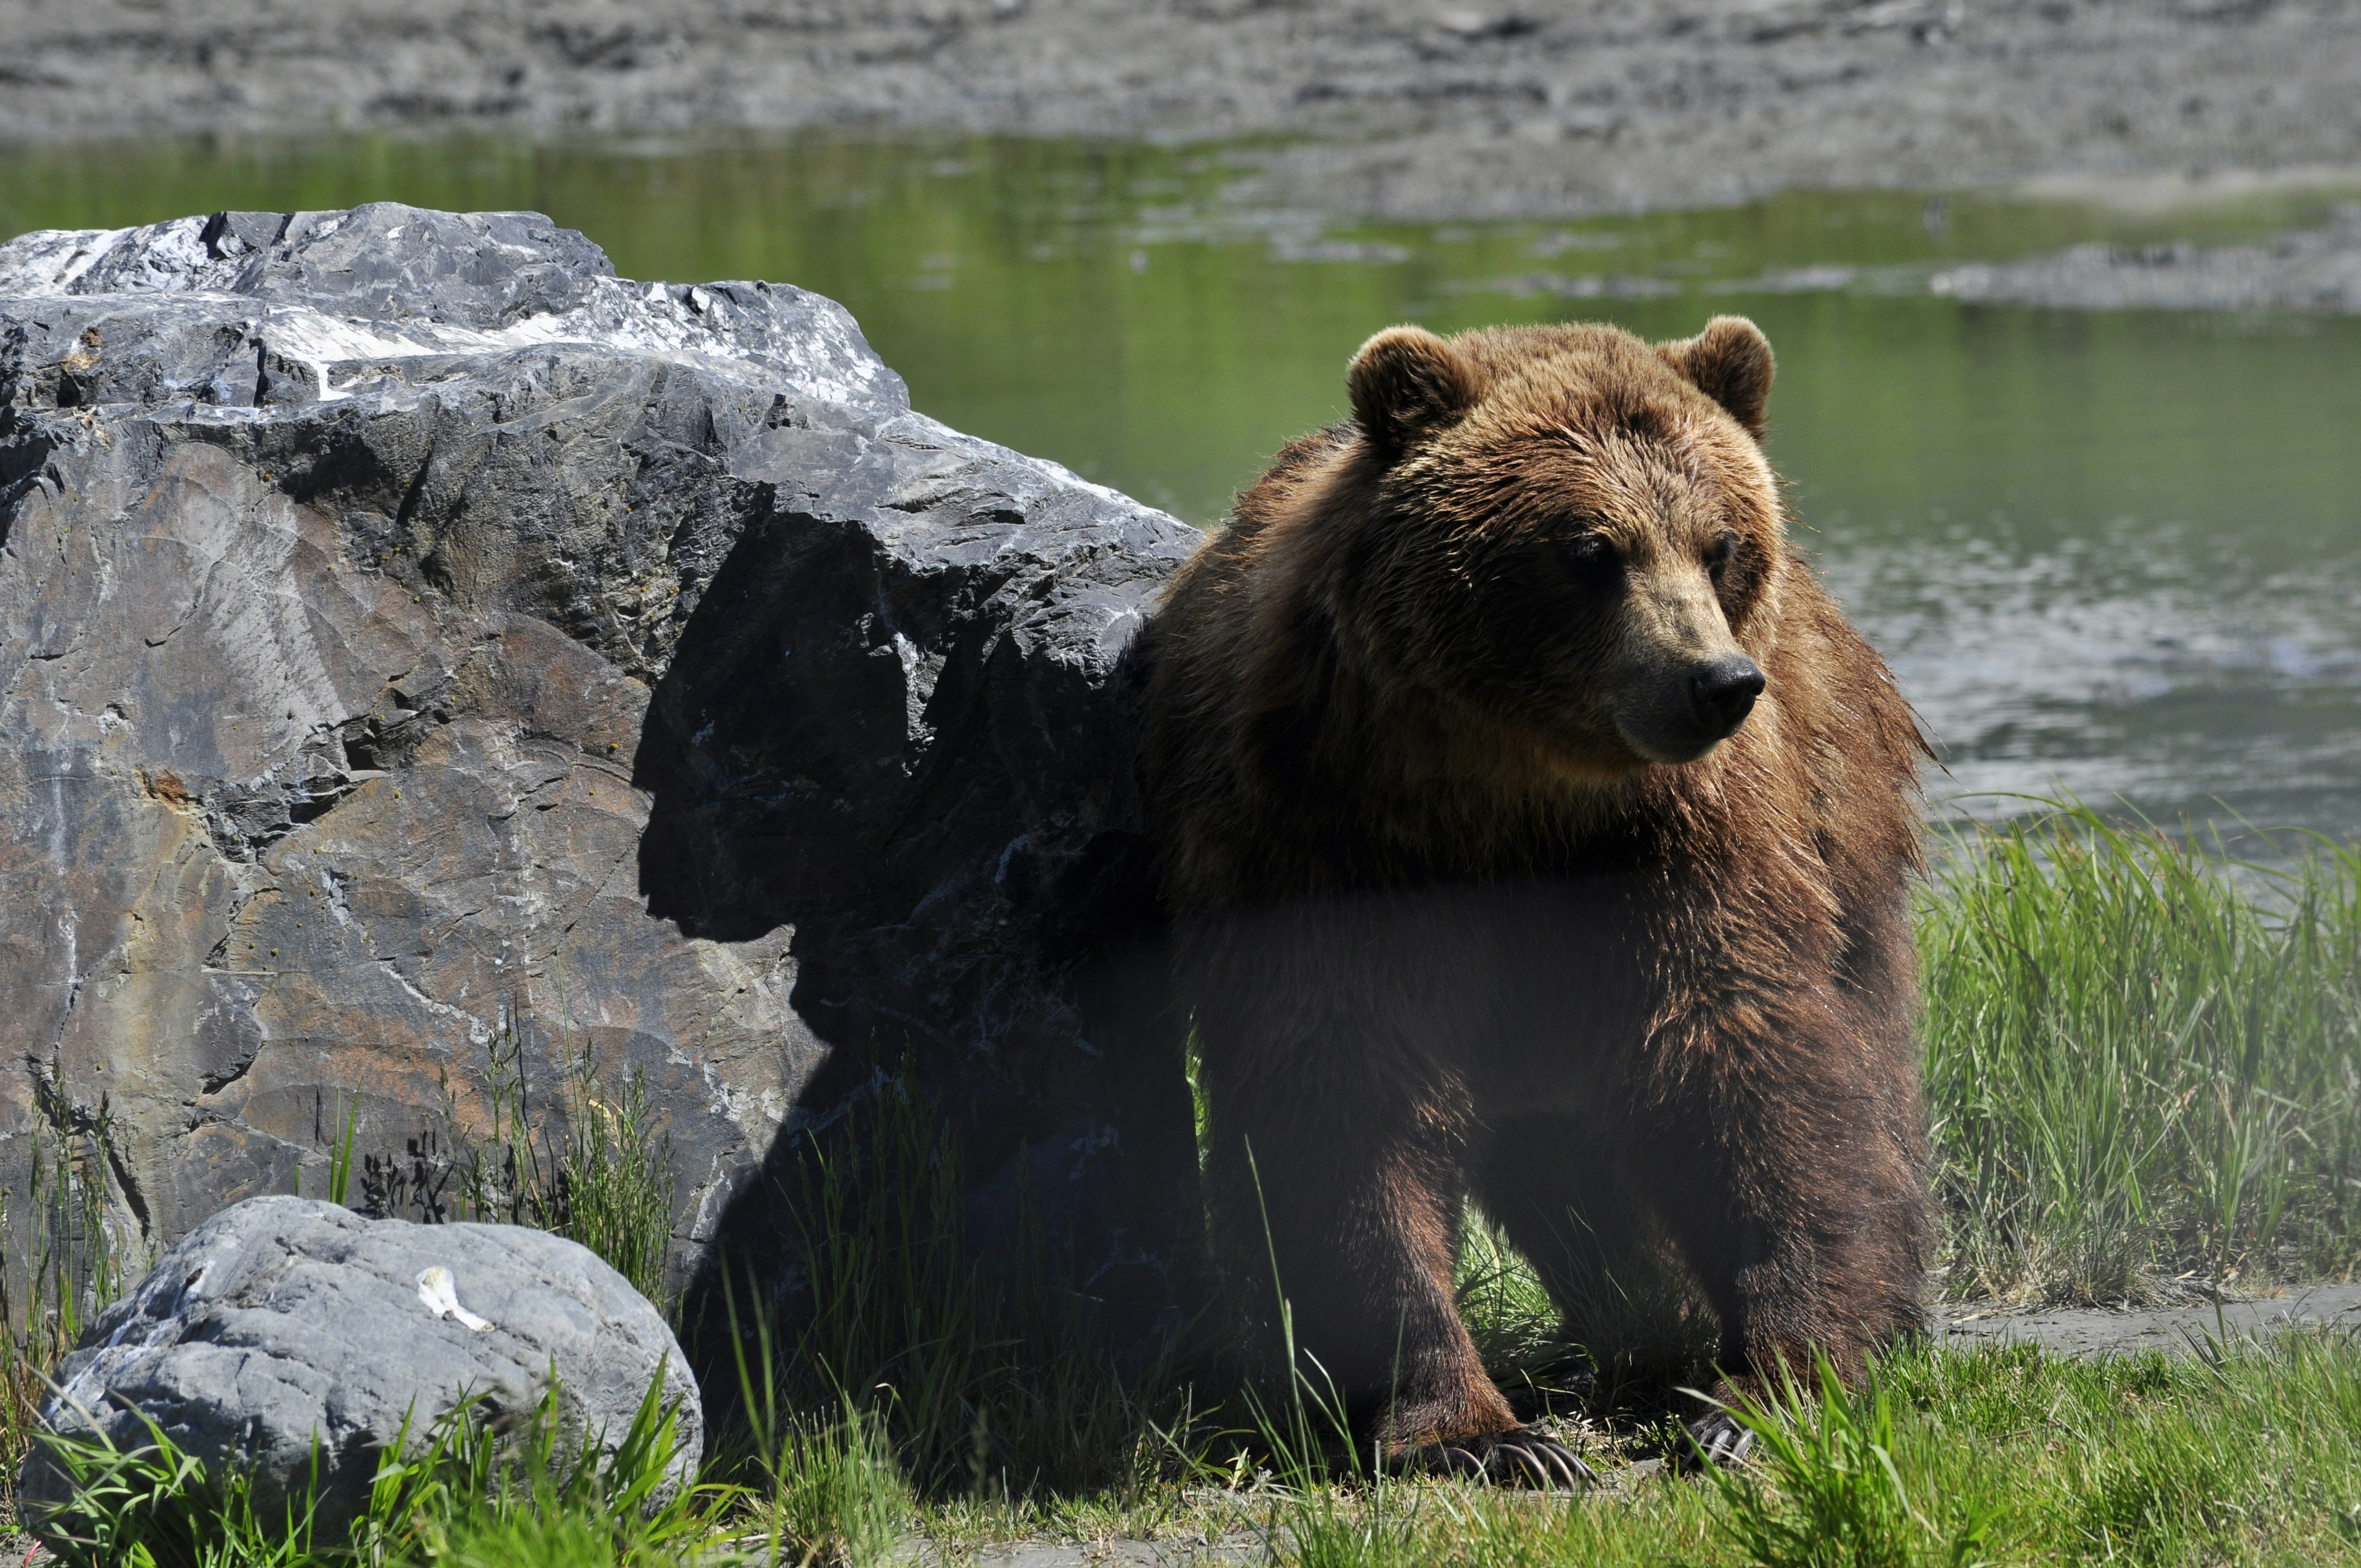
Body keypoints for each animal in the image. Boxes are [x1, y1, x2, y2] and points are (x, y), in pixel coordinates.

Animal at [1136, 316, 1930, 1483]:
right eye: (1590, 549)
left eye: (1719, 543)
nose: (1716, 681)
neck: (1516, 792)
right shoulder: (1328, 839)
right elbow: (1344, 1092)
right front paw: (1482, 1430)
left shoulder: (1683, 844)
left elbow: (1745, 1055)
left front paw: (1759, 1386)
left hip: (1839, 809)